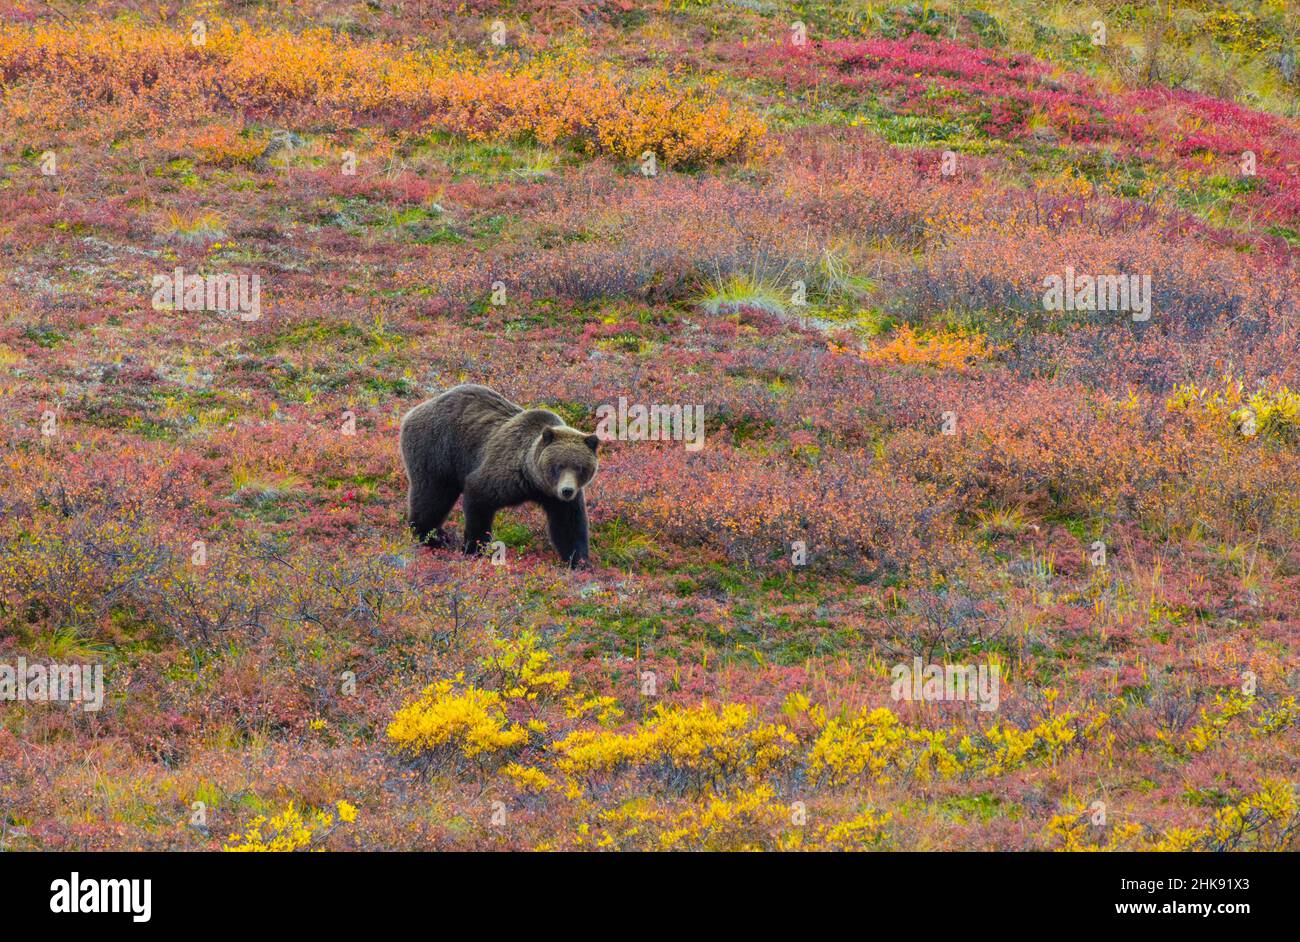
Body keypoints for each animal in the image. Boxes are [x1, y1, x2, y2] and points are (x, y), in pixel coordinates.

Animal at [399, 384, 599, 568]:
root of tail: (414, 411)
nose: (567, 490)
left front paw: (580, 562)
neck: (534, 481)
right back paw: (429, 537)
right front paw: (475, 549)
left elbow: (569, 525)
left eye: (580, 467)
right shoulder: (506, 474)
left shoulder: (557, 498)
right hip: (437, 451)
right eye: (558, 466)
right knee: (432, 496)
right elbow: (479, 497)